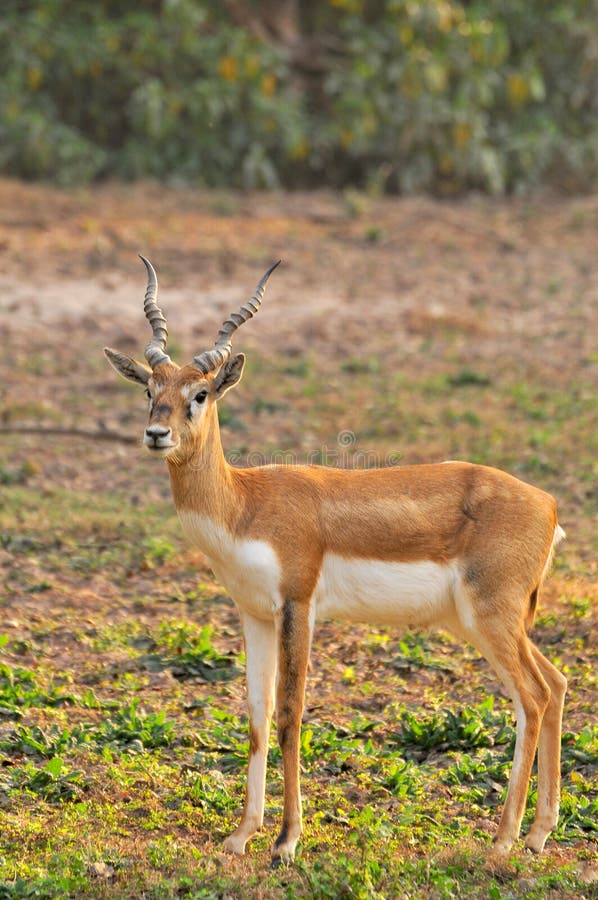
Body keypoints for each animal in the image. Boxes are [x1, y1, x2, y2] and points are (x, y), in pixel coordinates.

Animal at [104, 256, 567, 866]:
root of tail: (548, 504)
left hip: (491, 618)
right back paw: (539, 833)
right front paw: (241, 835)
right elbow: (255, 718)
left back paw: (504, 840)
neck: (245, 503)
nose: (156, 433)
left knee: (532, 699)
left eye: (200, 393)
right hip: (494, 623)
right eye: (150, 389)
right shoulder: (254, 614)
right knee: (556, 684)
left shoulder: (297, 605)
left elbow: (290, 715)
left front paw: (285, 841)